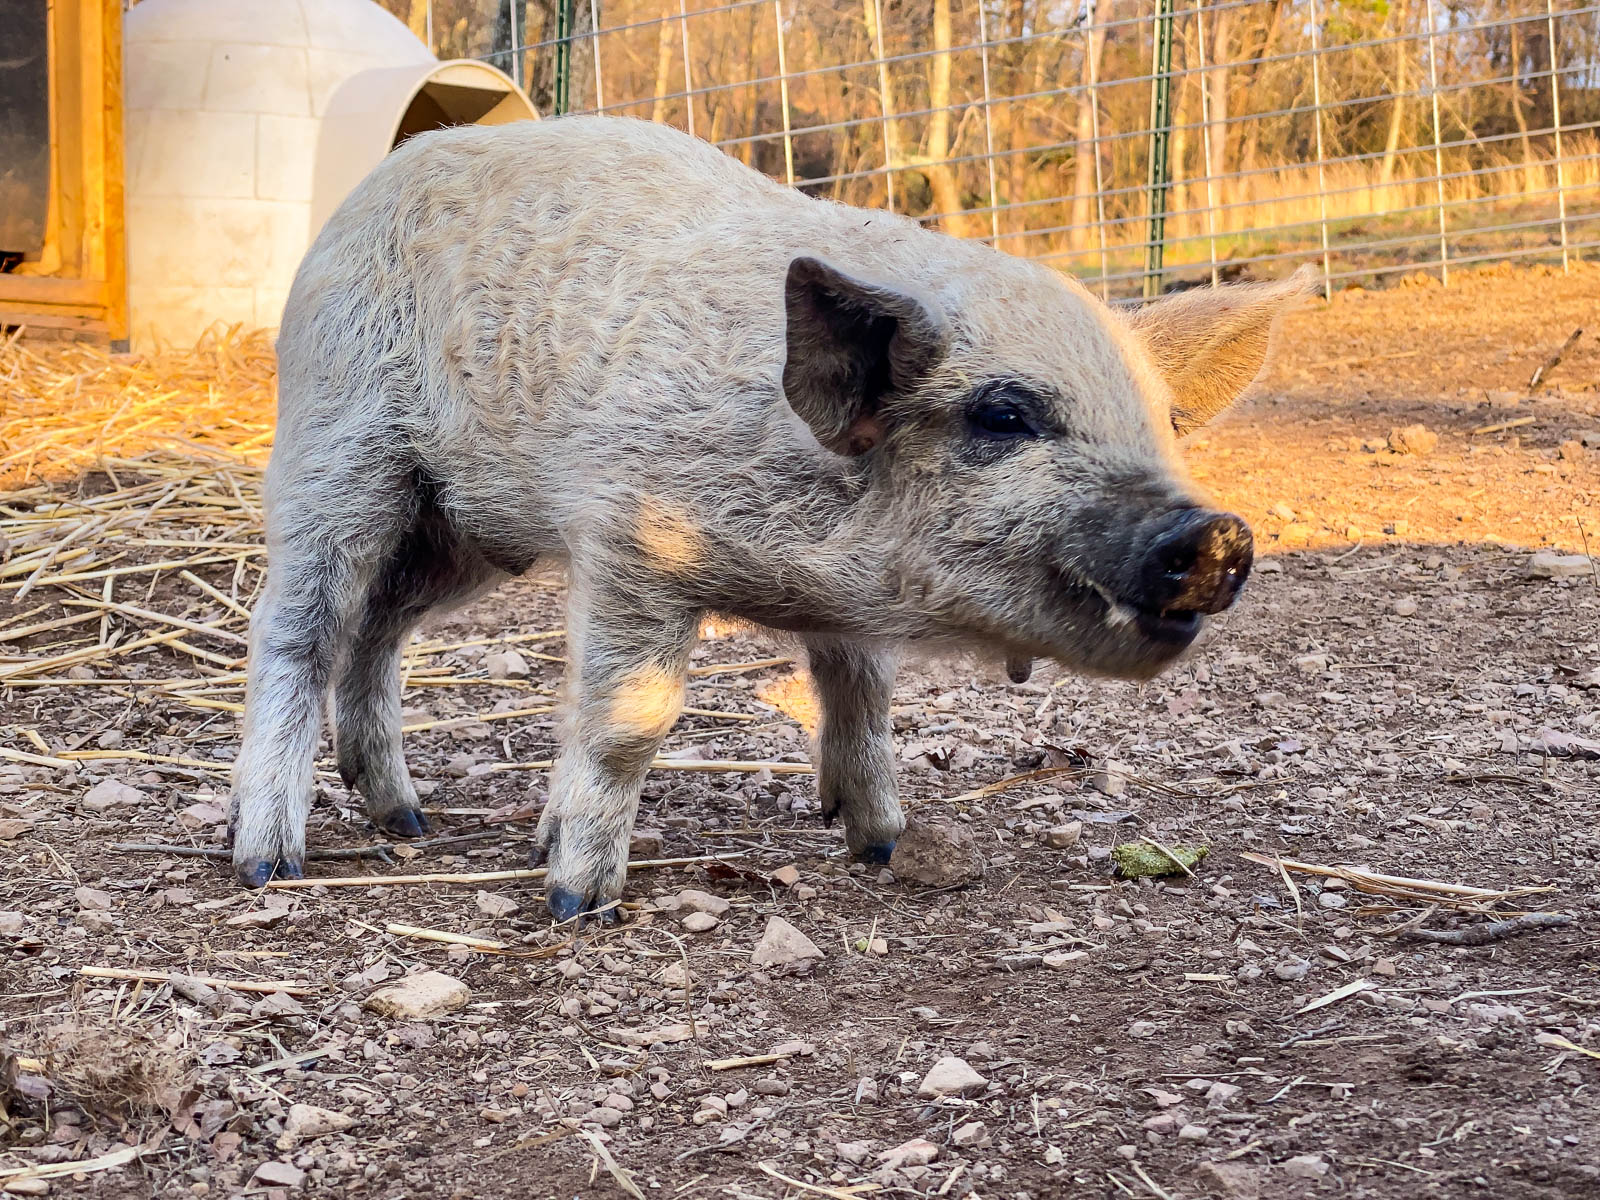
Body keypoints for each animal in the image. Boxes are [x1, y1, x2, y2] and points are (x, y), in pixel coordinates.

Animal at [230, 116, 1315, 920]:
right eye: (1002, 415)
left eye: (1161, 422)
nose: (1217, 535)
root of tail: (372, 184)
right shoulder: (631, 539)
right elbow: (625, 722)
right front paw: (578, 902)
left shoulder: (844, 609)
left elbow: (863, 700)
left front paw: (880, 844)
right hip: (339, 444)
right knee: (296, 630)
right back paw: (270, 862)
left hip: (465, 529)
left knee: (378, 629)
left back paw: (406, 820)